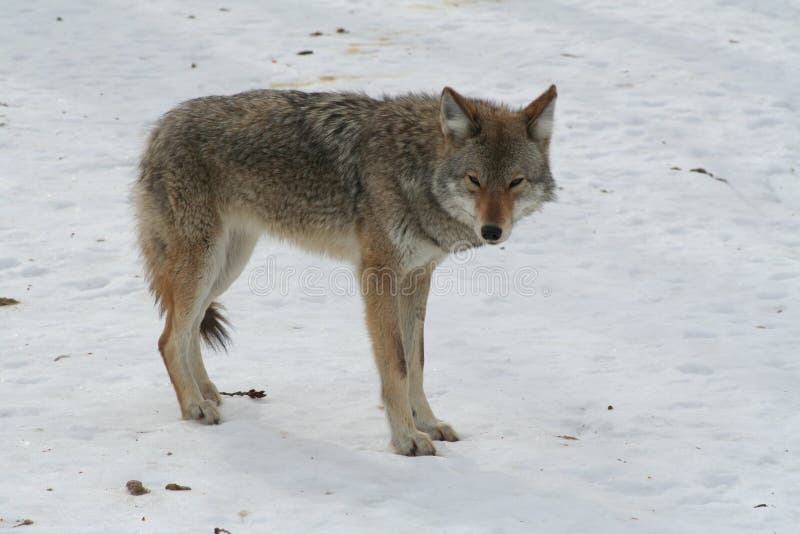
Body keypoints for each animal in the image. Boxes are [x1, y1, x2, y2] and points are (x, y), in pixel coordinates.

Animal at [133, 84, 557, 456]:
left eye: (515, 182)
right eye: (474, 180)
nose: (492, 231)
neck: (417, 168)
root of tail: (160, 127)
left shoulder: (418, 276)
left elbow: (416, 360)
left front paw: (428, 423)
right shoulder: (379, 274)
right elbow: (397, 364)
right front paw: (407, 439)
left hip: (226, 267)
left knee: (186, 330)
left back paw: (206, 392)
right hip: (204, 265)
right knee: (168, 338)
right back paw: (194, 407)